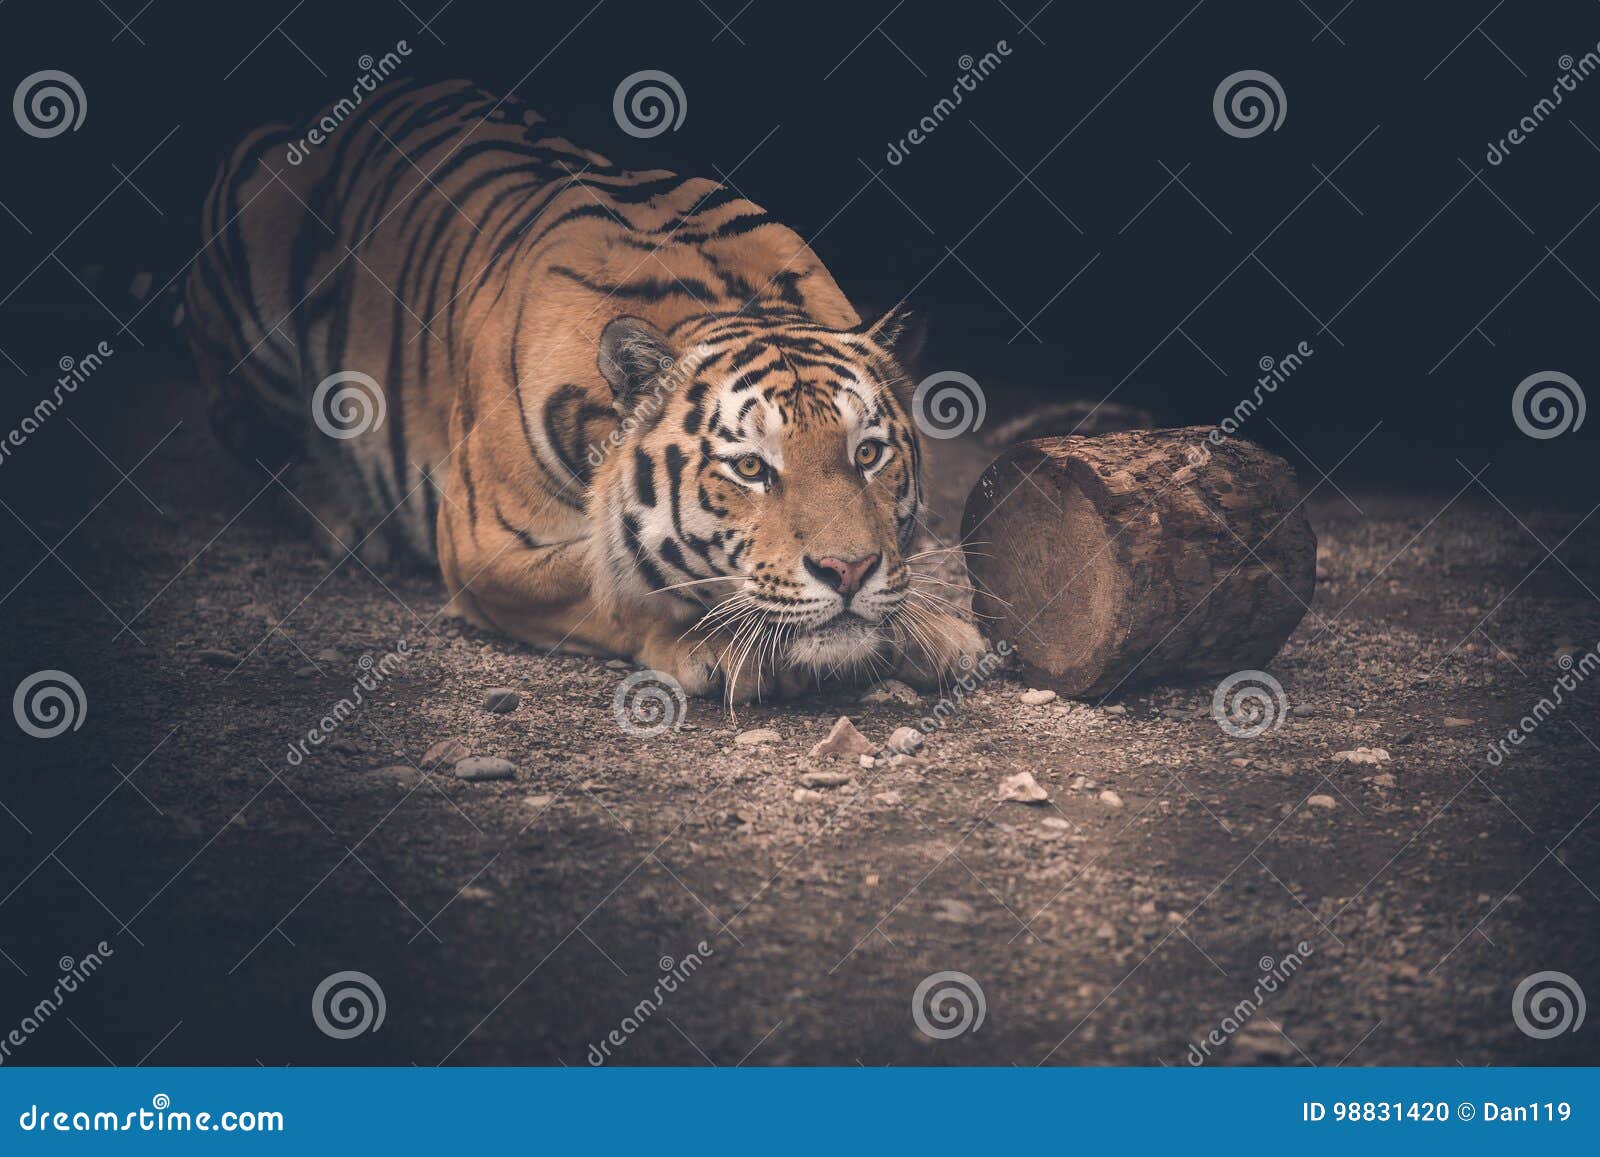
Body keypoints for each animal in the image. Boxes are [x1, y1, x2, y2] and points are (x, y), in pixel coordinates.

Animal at [185, 78, 987, 702]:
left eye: (868, 454)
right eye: (750, 467)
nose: (847, 570)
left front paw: (939, 631)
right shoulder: (483, 544)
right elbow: (619, 584)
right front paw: (717, 644)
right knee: (250, 437)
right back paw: (348, 523)